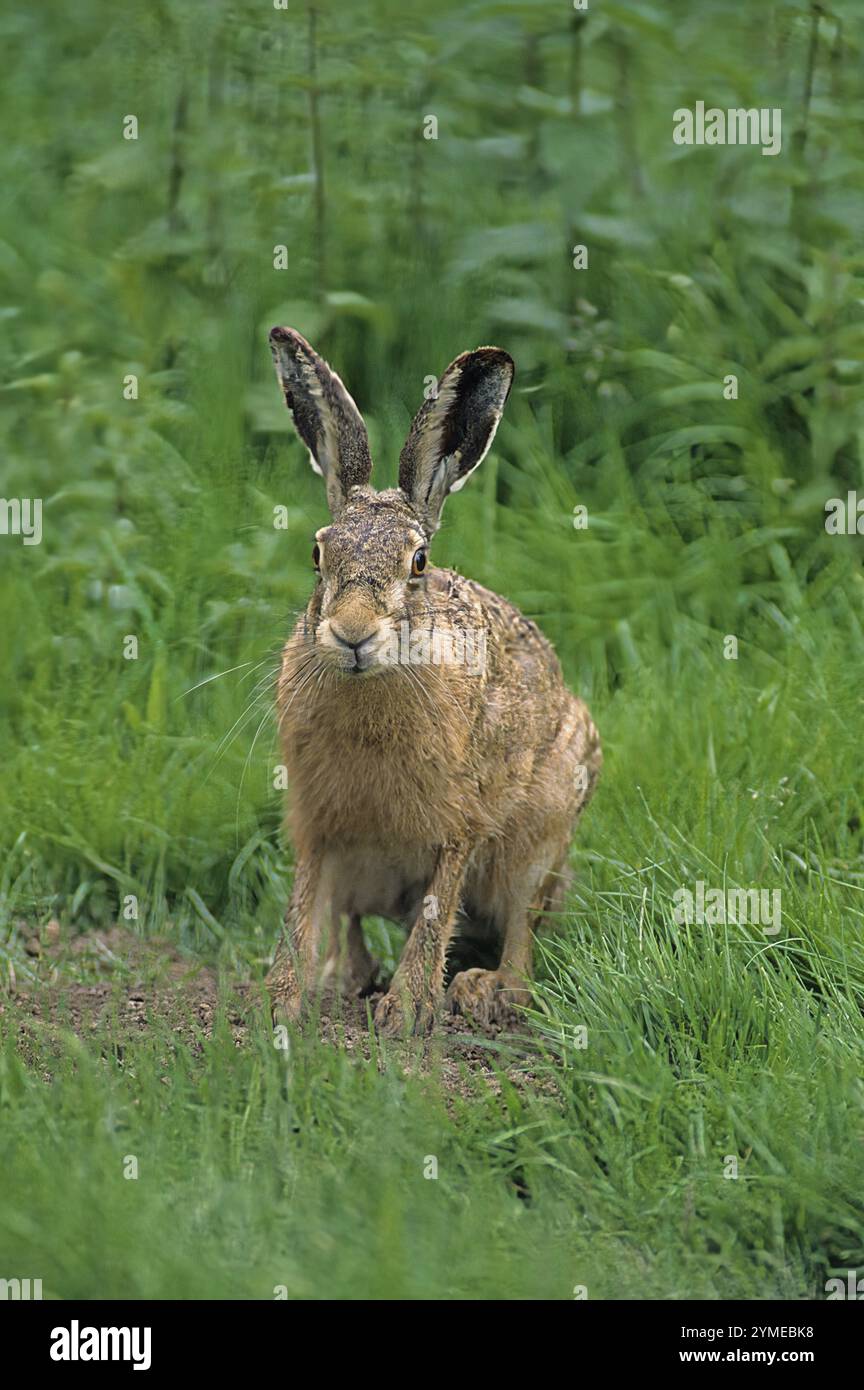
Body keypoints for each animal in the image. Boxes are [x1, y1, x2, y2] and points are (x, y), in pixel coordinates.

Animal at [265, 326, 601, 1037]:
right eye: (317, 554)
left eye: (418, 562)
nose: (353, 633)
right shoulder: (318, 822)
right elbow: (302, 903)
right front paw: (279, 1001)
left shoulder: (460, 825)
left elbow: (434, 910)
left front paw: (406, 1011)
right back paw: (340, 981)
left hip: (544, 838)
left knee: (521, 930)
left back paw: (485, 991)